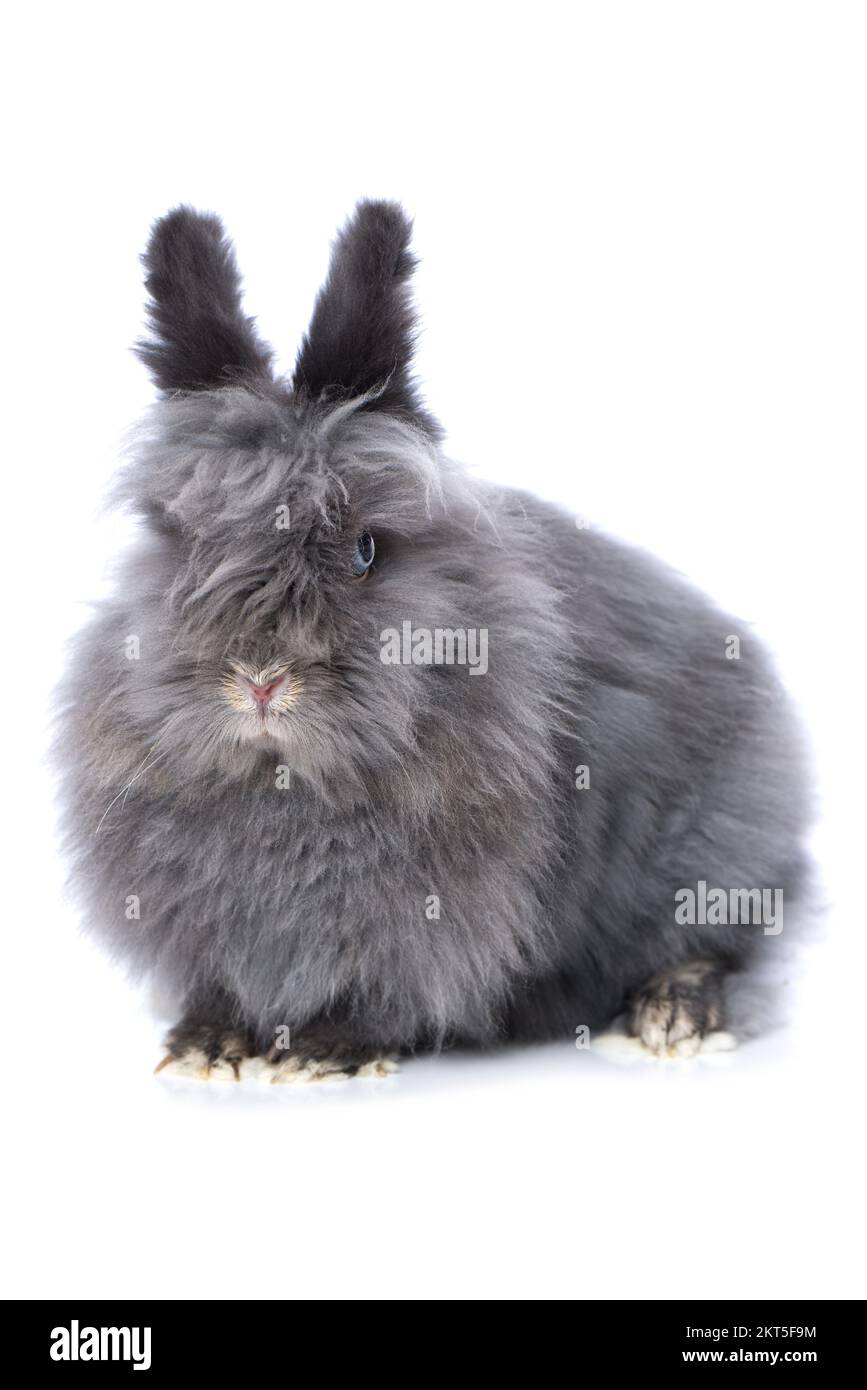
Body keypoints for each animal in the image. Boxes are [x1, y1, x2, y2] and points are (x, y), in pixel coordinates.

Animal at [57, 200, 809, 1081]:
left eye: (364, 550)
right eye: (182, 541)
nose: (260, 681)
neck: (287, 784)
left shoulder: (430, 923)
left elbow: (389, 991)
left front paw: (321, 1052)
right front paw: (210, 1044)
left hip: (714, 855)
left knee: (717, 945)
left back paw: (670, 1019)